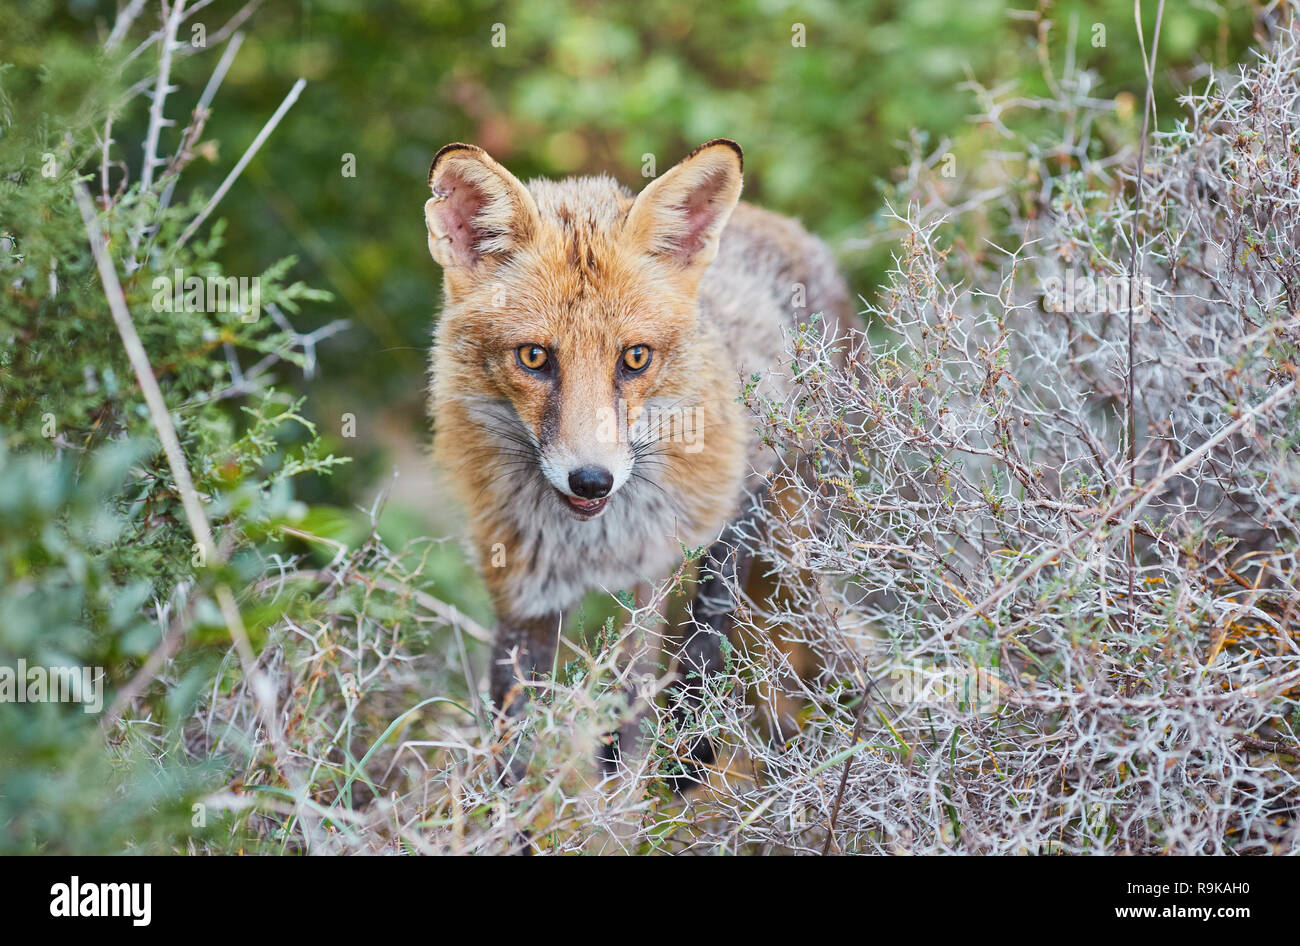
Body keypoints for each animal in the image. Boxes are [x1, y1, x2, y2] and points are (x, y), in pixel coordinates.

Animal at [423, 138, 850, 782]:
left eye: (635, 357)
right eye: (533, 357)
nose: (591, 480)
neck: (592, 542)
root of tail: (786, 225)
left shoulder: (704, 526)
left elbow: (683, 650)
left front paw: (672, 756)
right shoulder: (522, 592)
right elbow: (512, 738)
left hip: (780, 541)